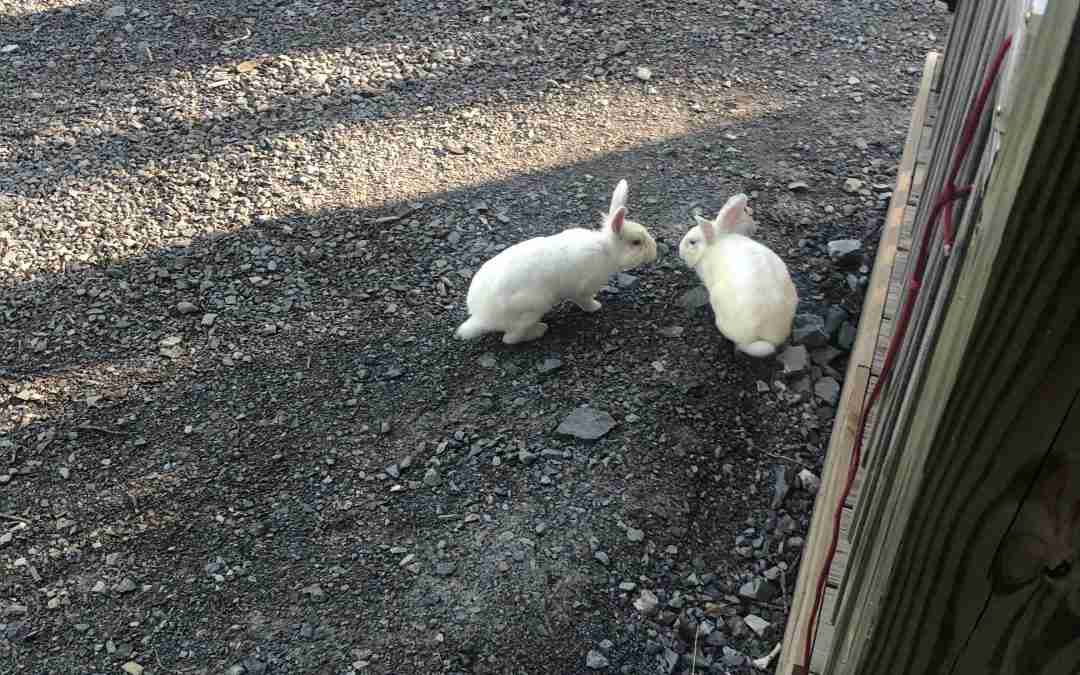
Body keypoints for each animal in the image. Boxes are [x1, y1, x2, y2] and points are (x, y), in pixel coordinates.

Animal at [455, 179, 658, 344]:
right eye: (636, 243)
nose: (655, 252)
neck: (607, 250)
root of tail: (480, 317)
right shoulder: (582, 289)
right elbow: (584, 301)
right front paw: (595, 306)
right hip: (532, 309)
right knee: (510, 339)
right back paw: (540, 330)